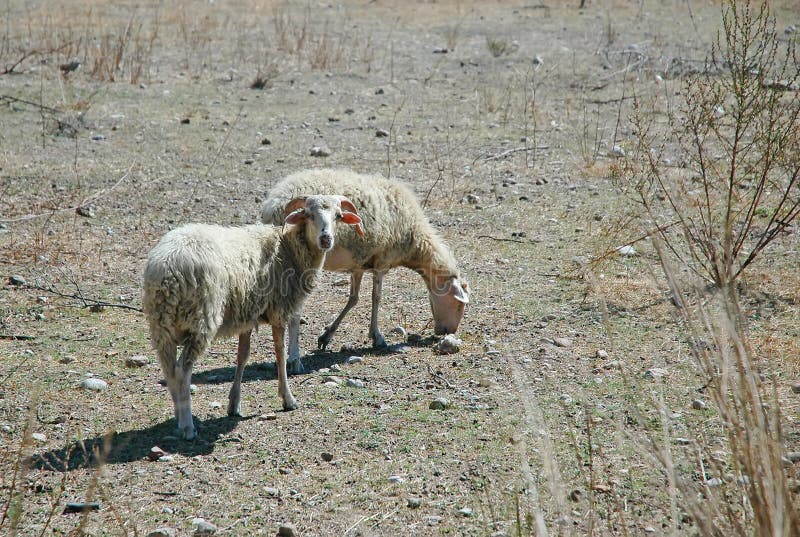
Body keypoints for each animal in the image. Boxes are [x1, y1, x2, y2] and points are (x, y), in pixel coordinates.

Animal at [143, 195, 362, 439]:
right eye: (308, 214)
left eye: (338, 216)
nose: (326, 239)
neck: (288, 249)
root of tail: (167, 266)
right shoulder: (278, 310)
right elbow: (280, 353)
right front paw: (287, 398)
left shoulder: (247, 314)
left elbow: (243, 357)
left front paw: (234, 404)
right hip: (201, 321)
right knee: (182, 371)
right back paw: (188, 426)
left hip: (162, 325)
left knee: (170, 370)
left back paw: (178, 415)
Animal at [260, 168, 470, 373]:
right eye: (459, 305)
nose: (447, 332)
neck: (416, 240)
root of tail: (272, 204)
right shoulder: (382, 262)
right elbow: (376, 297)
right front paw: (377, 337)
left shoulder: (359, 265)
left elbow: (353, 299)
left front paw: (327, 335)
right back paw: (293, 360)